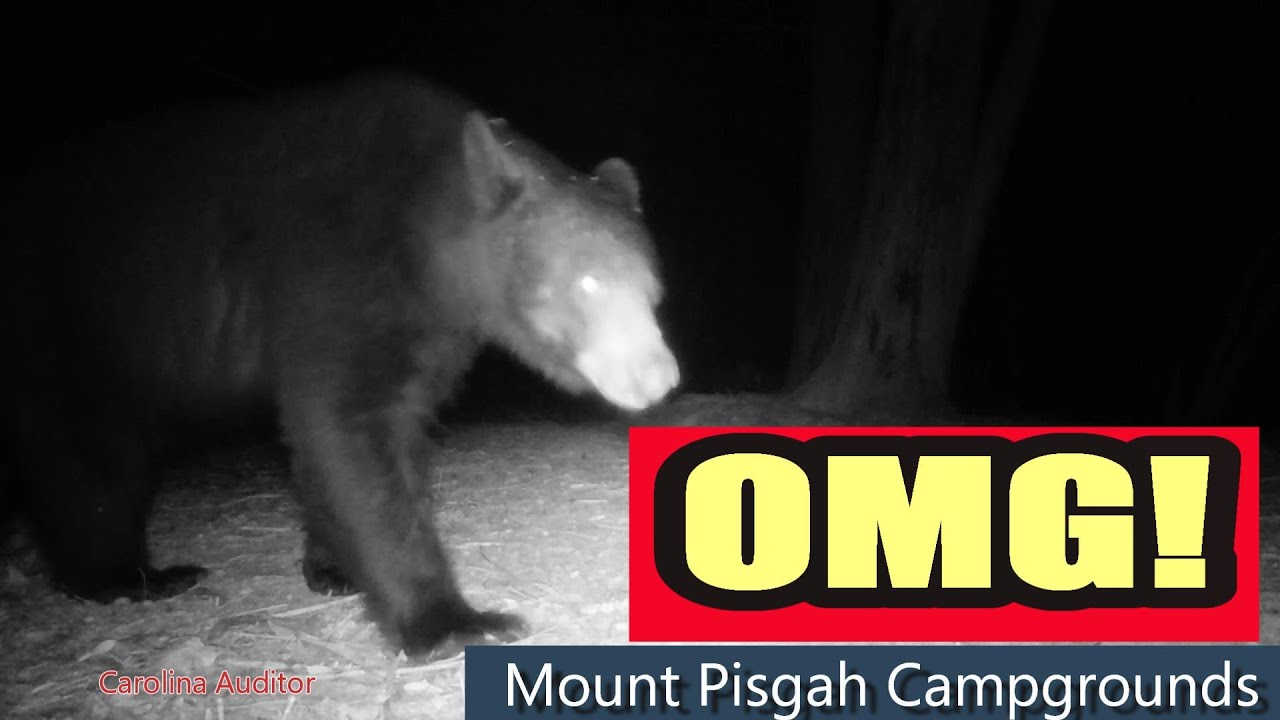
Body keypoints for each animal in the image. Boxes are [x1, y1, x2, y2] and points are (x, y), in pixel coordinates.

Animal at [0, 71, 679, 654]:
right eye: (588, 284)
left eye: (652, 292)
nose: (659, 376)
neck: (423, 214)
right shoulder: (336, 265)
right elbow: (350, 427)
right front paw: (455, 621)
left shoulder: (433, 320)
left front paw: (334, 567)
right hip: (71, 323)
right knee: (91, 461)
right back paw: (130, 577)